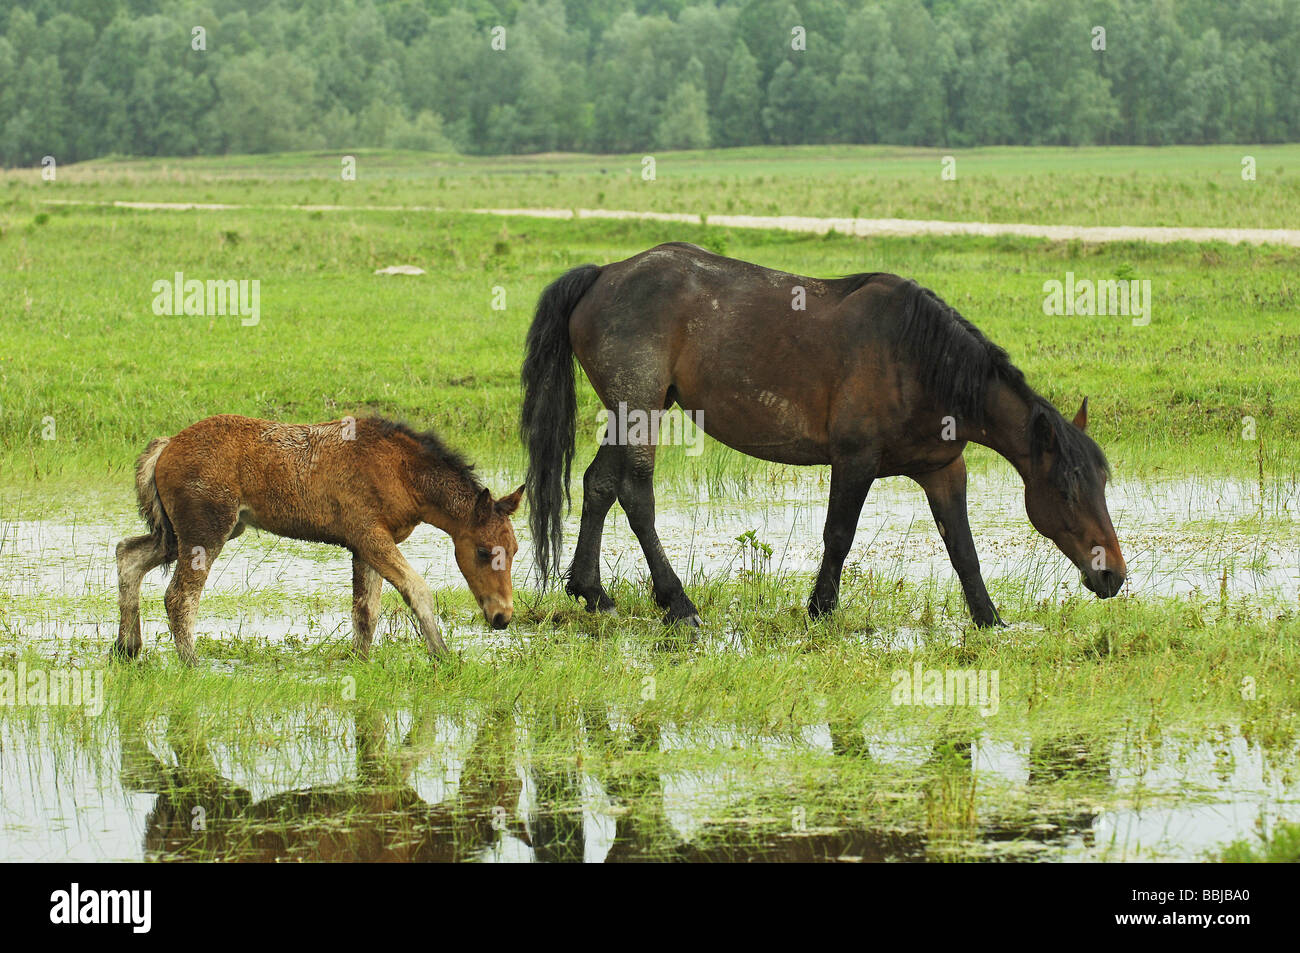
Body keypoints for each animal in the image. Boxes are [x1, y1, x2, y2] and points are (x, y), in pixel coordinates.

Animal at [113, 415, 523, 665]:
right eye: (483, 551)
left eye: (515, 550)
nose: (502, 616)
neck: (402, 472)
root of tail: (165, 446)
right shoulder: (370, 536)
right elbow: (417, 590)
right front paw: (442, 655)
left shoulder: (364, 545)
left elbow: (365, 610)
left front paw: (360, 661)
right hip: (206, 531)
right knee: (179, 597)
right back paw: (191, 663)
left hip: (184, 533)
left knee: (128, 554)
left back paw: (127, 647)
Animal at [520, 242, 1125, 628]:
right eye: (1066, 491)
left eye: (1101, 486)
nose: (1113, 576)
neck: (919, 360)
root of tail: (603, 274)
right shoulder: (854, 461)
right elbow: (839, 535)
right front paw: (820, 609)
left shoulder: (942, 469)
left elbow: (963, 548)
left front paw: (989, 618)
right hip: (640, 410)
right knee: (636, 495)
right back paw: (678, 604)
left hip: (632, 413)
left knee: (599, 485)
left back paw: (592, 592)